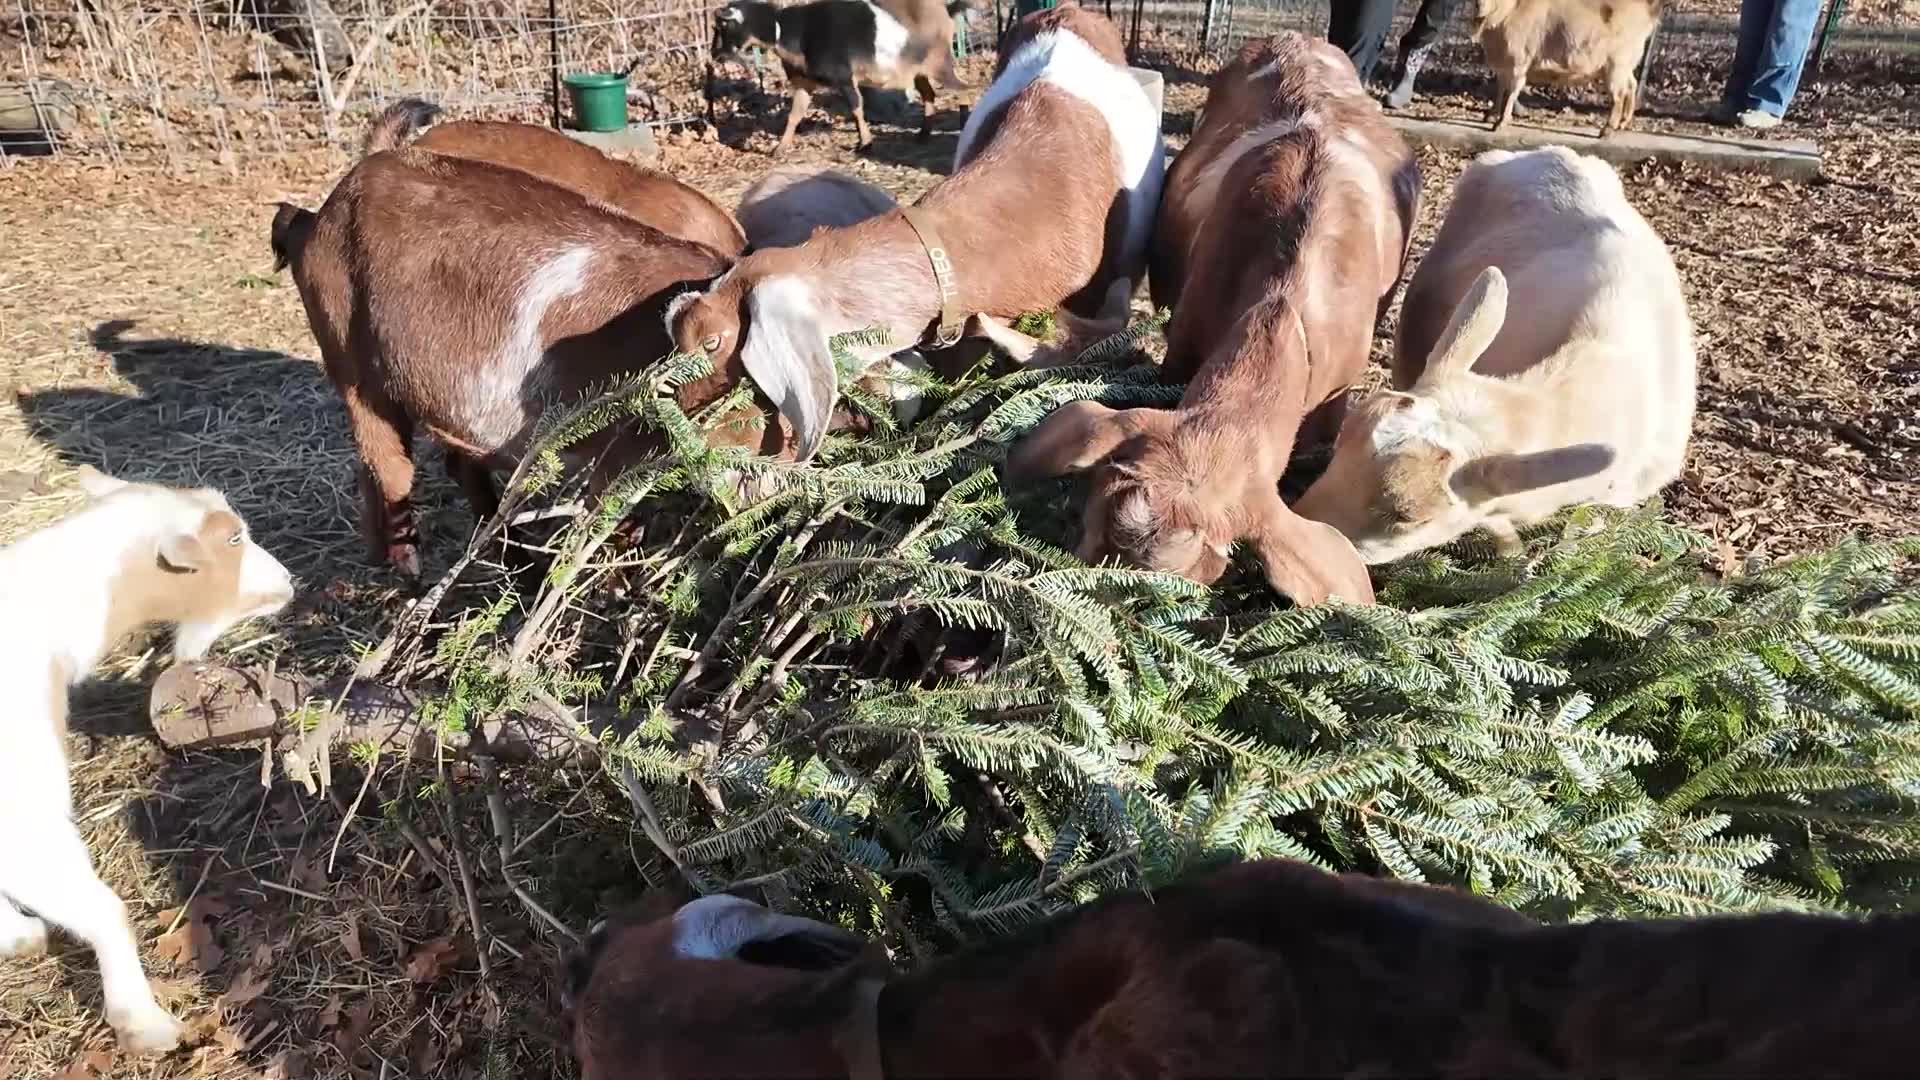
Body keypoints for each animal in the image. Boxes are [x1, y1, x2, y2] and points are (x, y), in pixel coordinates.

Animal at [712, 0, 972, 151]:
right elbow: (794, 115)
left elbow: (856, 108)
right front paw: (780, 149)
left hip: (939, 62)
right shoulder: (805, 84)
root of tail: (946, 10)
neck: (794, 33)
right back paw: (923, 135)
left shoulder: (844, 78)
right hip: (918, 69)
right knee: (929, 94)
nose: (715, 54)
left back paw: (963, 124)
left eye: (724, 26)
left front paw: (865, 144)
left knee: (963, 87)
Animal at [1473, 0, 1662, 133]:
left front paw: (1501, 122)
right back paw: (1623, 123)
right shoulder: (1504, 65)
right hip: (1625, 65)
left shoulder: (1518, 63)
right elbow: (1500, 89)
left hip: (1617, 64)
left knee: (1619, 95)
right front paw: (1490, 115)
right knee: (1632, 85)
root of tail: (1647, 13)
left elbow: (1511, 92)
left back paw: (1607, 129)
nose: (1479, 5)